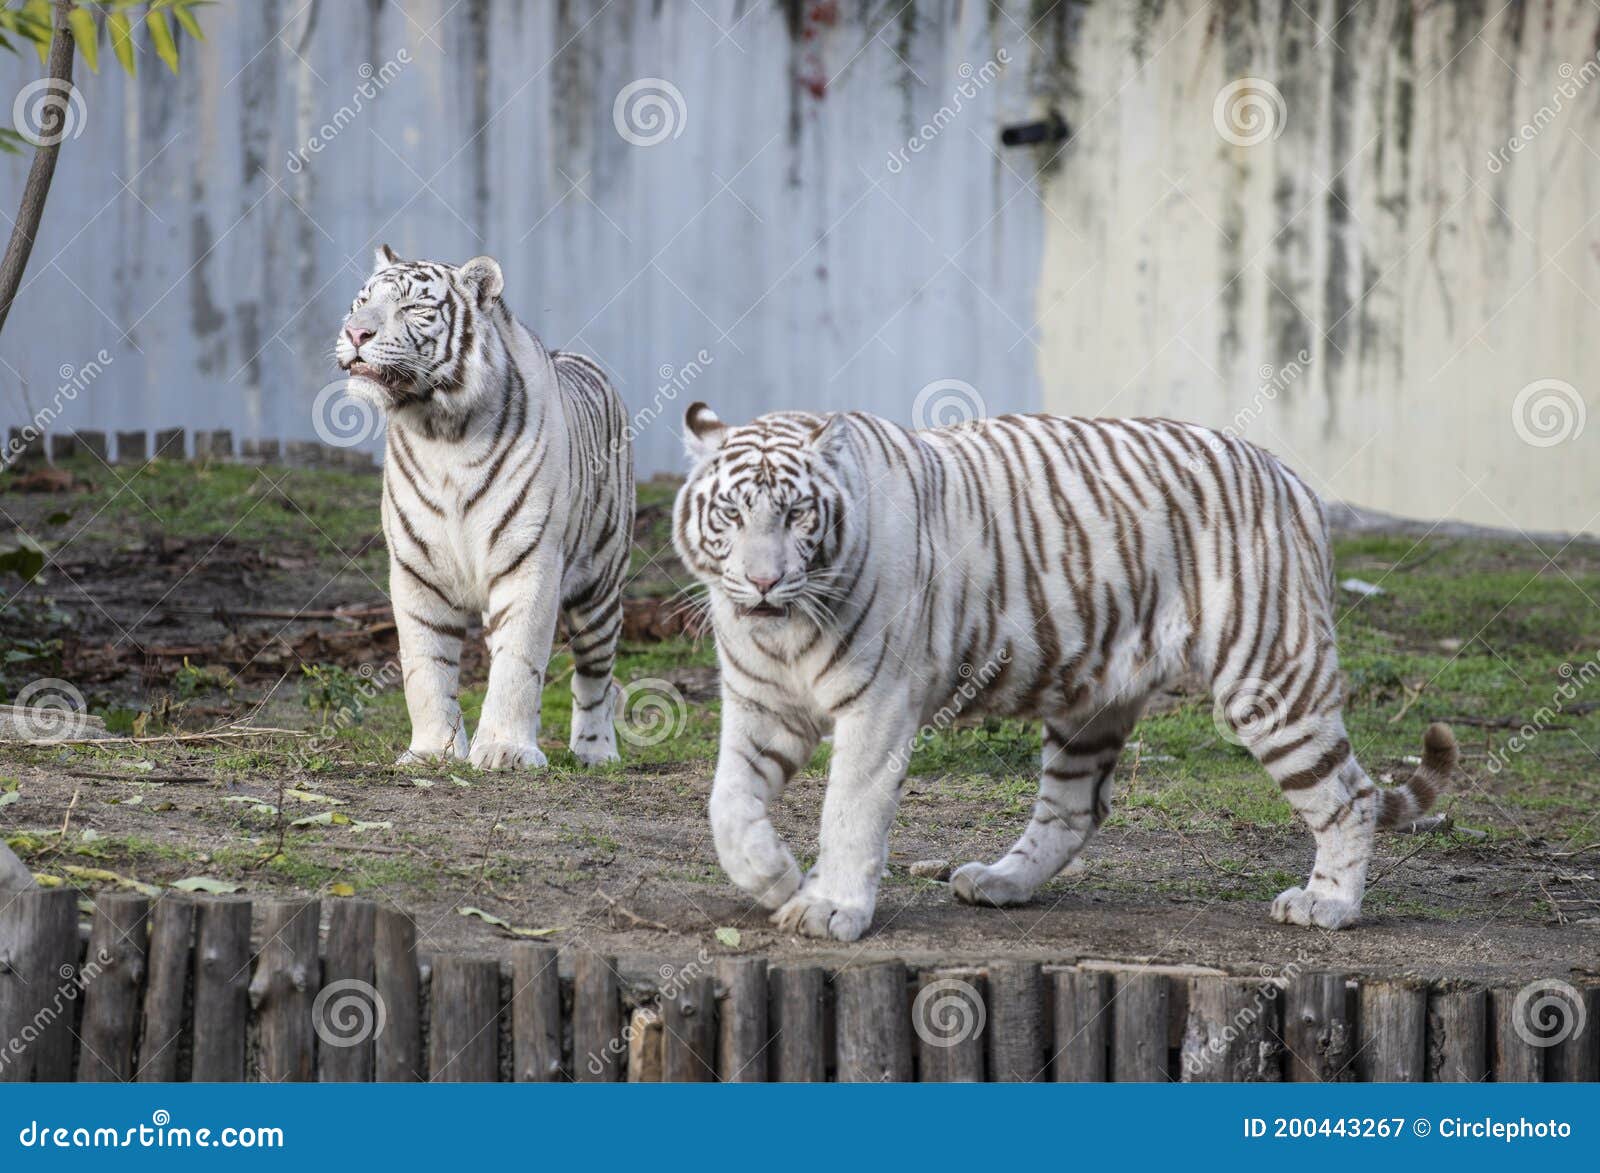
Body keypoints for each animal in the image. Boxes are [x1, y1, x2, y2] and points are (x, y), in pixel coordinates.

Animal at [335, 245, 634, 770]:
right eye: (362, 302)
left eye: (413, 307)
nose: (356, 334)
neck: (440, 432)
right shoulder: (416, 569)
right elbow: (426, 668)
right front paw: (432, 752)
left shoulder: (530, 560)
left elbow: (518, 664)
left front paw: (504, 752)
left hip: (600, 586)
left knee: (596, 676)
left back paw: (595, 752)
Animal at [673, 402, 1456, 942]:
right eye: (731, 514)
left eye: (797, 514)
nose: (764, 582)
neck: (782, 636)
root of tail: (1291, 478)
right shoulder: (759, 704)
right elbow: (727, 804)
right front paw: (775, 877)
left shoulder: (879, 706)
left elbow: (849, 809)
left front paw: (830, 907)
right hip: (1093, 703)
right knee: (1076, 808)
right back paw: (998, 881)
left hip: (1271, 678)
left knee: (1350, 794)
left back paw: (1327, 904)